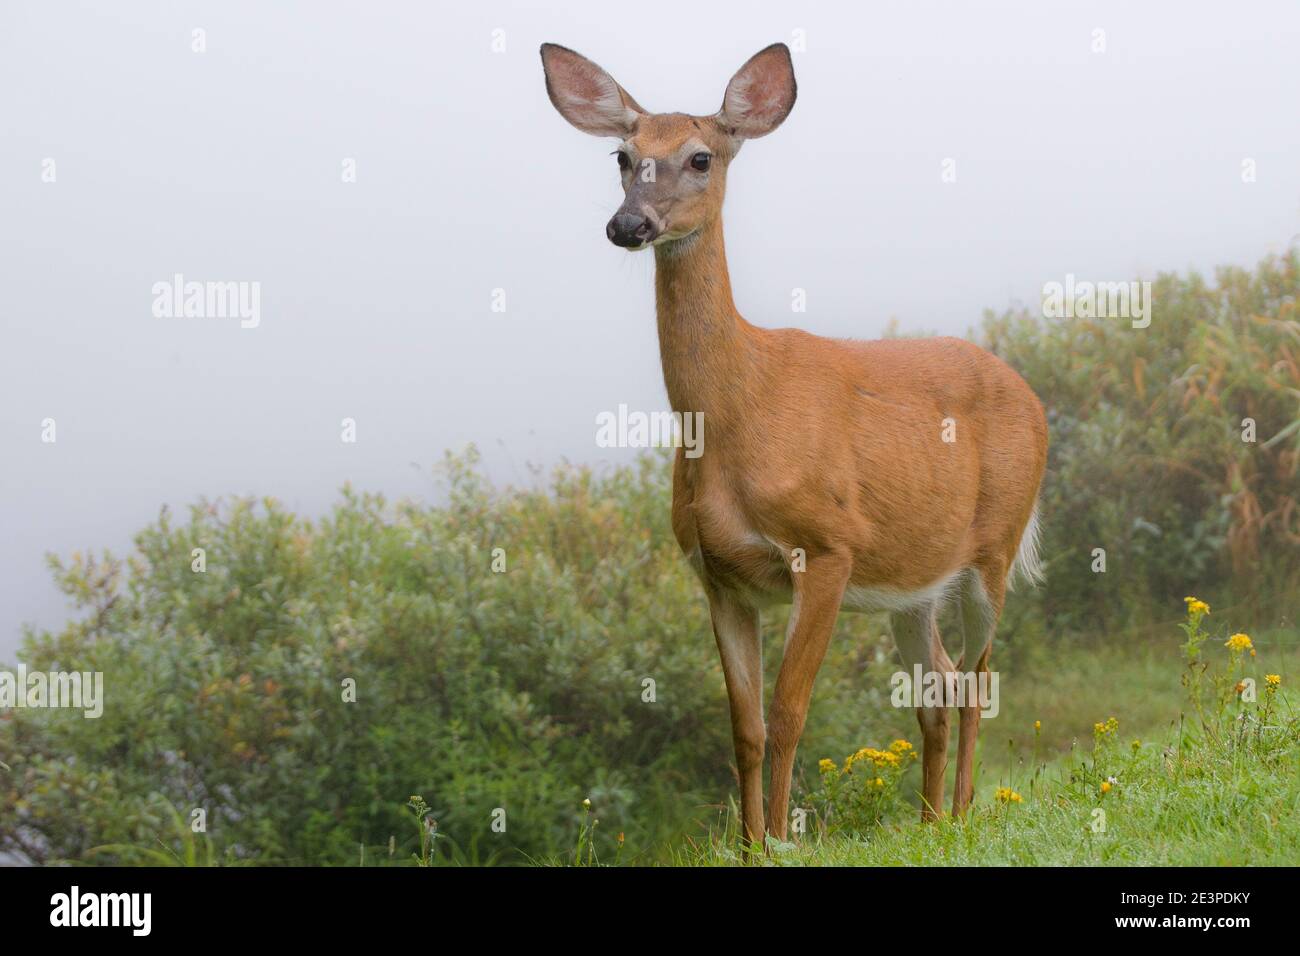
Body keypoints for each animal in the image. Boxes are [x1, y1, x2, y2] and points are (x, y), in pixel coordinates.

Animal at [540, 41, 1049, 847]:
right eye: (622, 155)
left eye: (699, 158)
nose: (628, 224)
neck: (736, 417)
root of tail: (1032, 395)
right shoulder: (716, 573)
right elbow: (745, 727)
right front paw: (751, 844)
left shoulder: (828, 545)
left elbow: (788, 715)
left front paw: (780, 838)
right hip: (914, 580)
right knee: (936, 685)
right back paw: (931, 819)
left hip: (994, 544)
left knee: (976, 681)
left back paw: (965, 811)